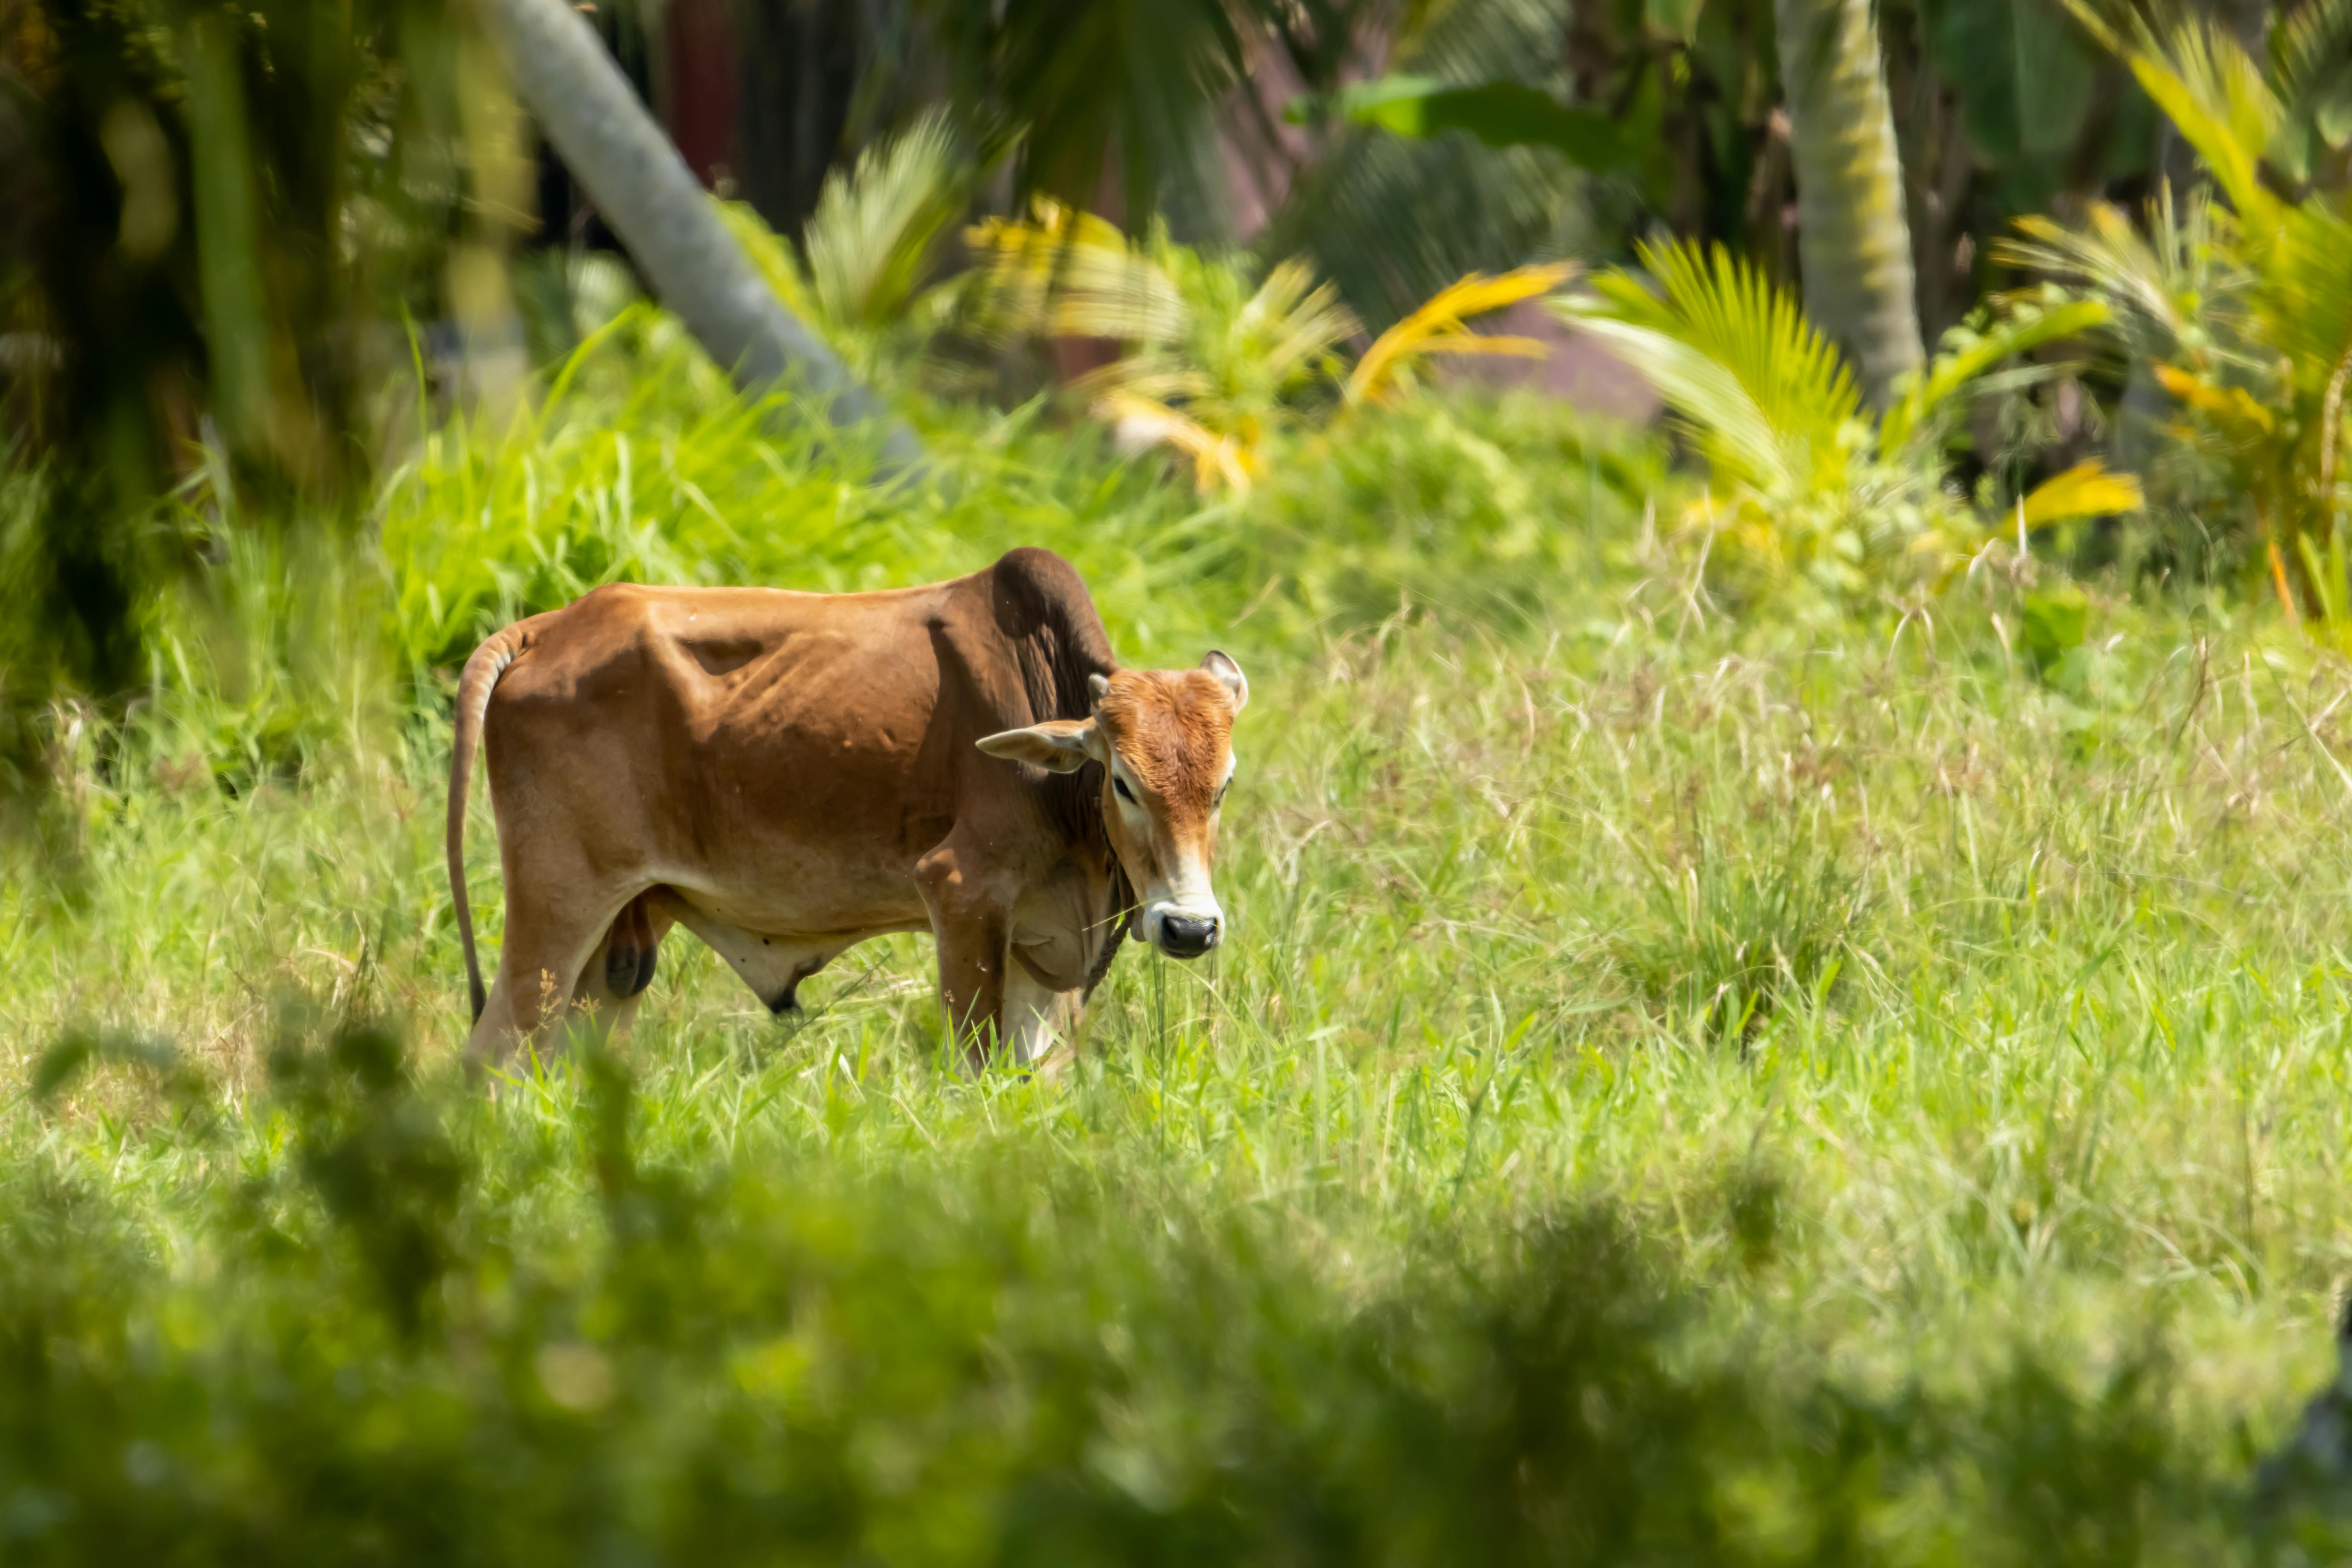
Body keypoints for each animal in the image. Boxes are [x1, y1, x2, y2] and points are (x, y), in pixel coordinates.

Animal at [443, 547, 1246, 1069]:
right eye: (1123, 782)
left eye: (1223, 786)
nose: (1190, 927)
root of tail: (545, 627)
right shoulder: (963, 894)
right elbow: (974, 1069)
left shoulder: (1040, 952)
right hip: (558, 902)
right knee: (491, 1053)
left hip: (622, 934)